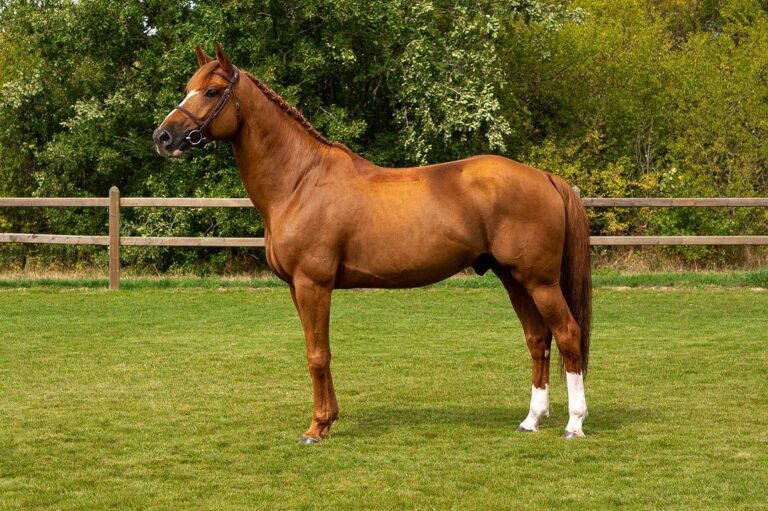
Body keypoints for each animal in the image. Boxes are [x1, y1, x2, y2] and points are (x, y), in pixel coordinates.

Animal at [154, 43, 592, 443]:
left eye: (212, 91)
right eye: (188, 88)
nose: (163, 136)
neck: (299, 181)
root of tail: (546, 177)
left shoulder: (313, 284)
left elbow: (317, 354)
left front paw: (316, 427)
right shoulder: (298, 289)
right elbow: (317, 351)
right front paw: (328, 419)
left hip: (539, 281)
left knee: (568, 334)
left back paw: (573, 424)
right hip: (513, 278)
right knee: (538, 339)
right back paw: (531, 420)